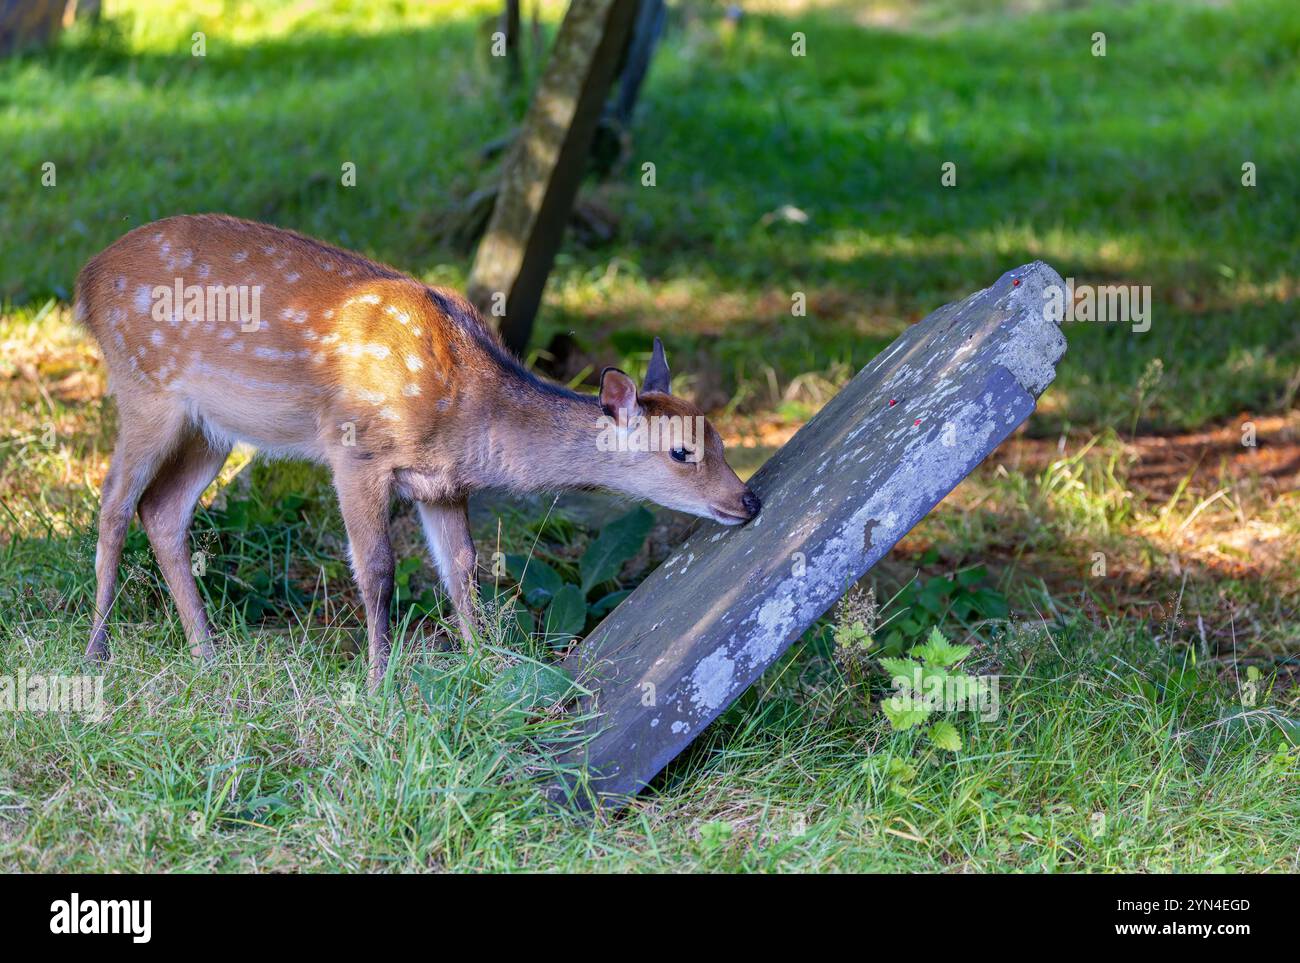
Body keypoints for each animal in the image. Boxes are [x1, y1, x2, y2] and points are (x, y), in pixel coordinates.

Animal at [76, 214, 761, 689]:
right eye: (681, 452)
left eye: (721, 438)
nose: (749, 500)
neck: (466, 417)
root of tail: (87, 279)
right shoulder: (355, 450)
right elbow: (377, 571)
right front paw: (379, 683)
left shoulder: (444, 485)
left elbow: (464, 572)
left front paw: (485, 665)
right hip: (144, 388)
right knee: (112, 503)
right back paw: (96, 650)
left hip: (211, 427)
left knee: (163, 511)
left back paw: (208, 654)